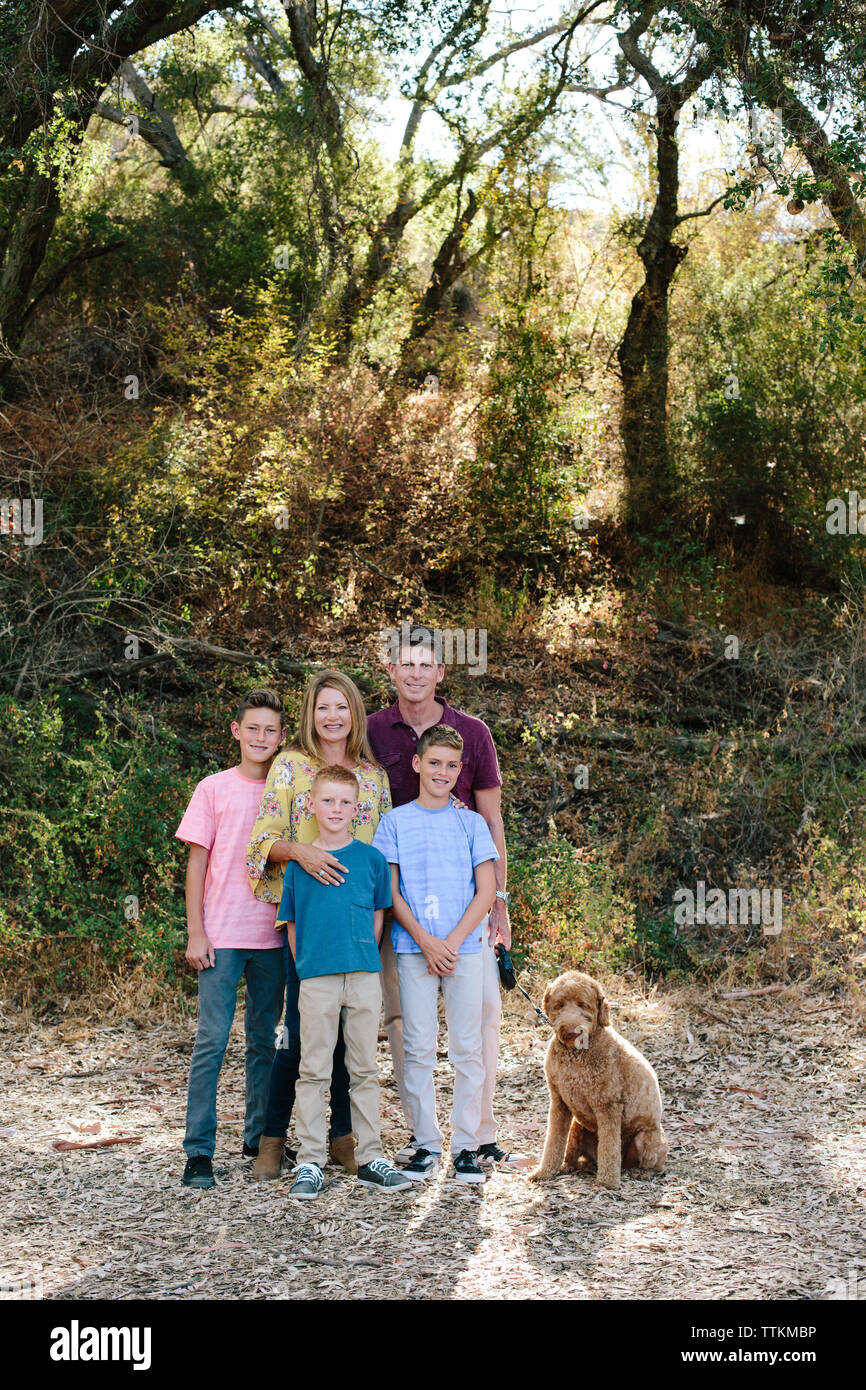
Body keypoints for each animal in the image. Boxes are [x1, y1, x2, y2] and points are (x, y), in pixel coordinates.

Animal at [525, 973, 667, 1189]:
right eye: (559, 1005)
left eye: (584, 1005)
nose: (571, 1029)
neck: (576, 1055)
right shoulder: (559, 1102)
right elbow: (553, 1142)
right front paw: (544, 1173)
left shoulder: (608, 1106)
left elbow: (609, 1147)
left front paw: (607, 1182)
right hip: (577, 1125)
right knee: (573, 1154)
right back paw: (570, 1166)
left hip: (646, 1138)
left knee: (651, 1164)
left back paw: (641, 1173)